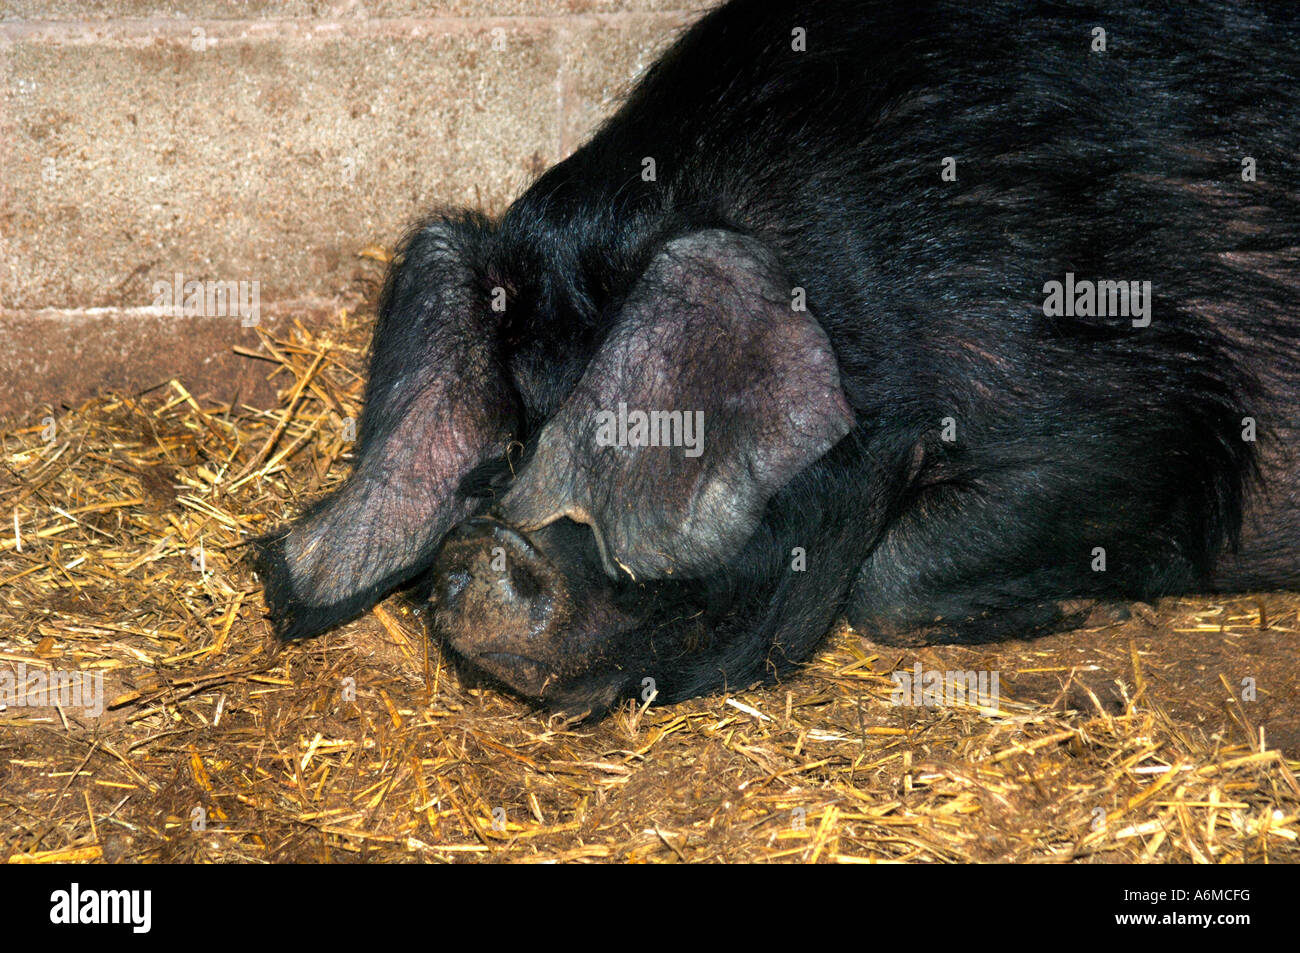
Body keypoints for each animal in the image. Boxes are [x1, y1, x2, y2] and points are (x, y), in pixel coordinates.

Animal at [252, 0, 1300, 716]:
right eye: (506, 446)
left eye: (609, 452)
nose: (472, 554)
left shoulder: (1126, 417)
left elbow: (889, 582)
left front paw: (1090, 608)